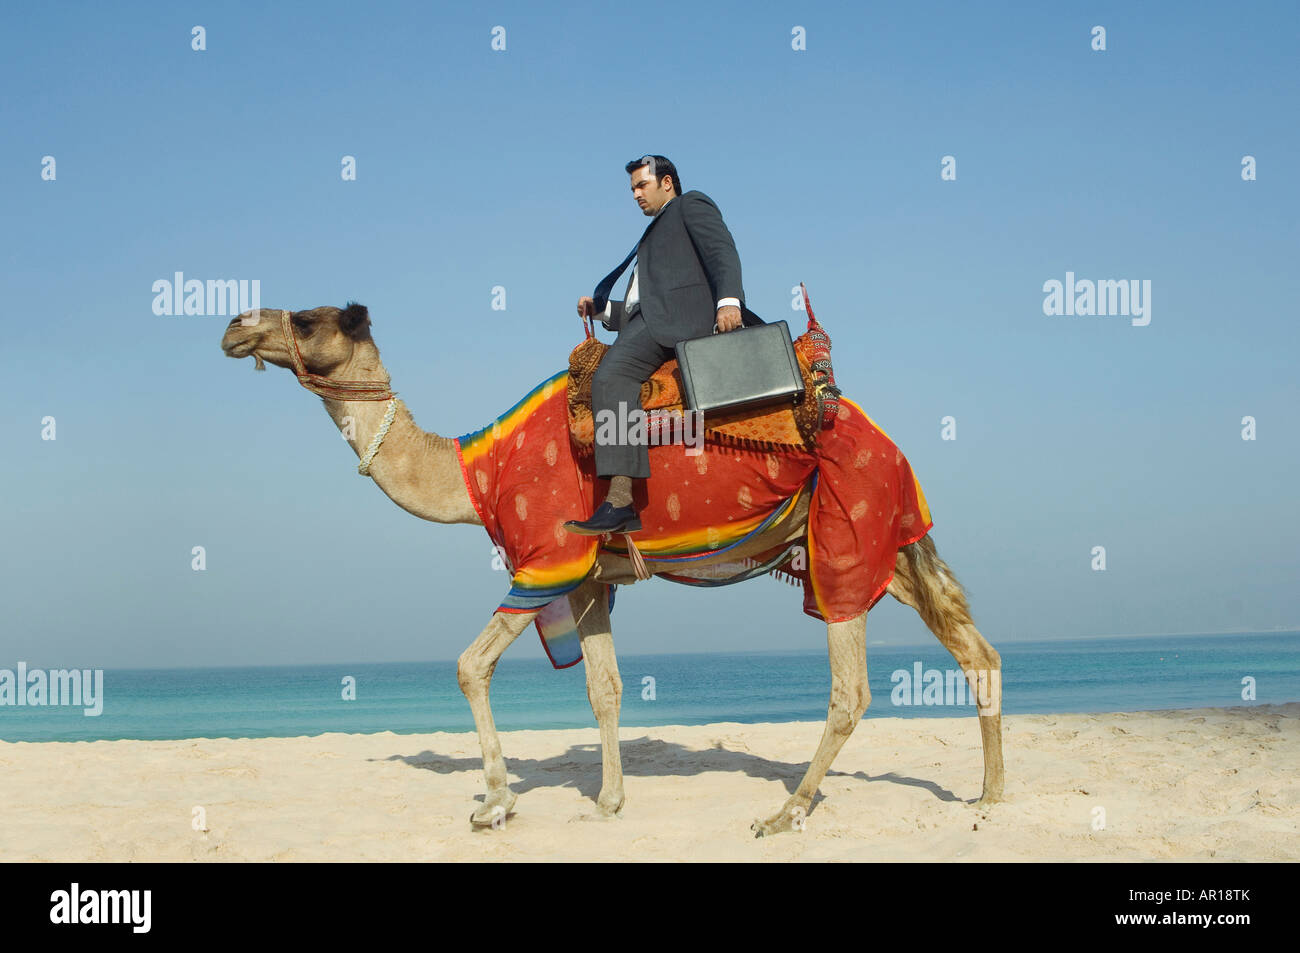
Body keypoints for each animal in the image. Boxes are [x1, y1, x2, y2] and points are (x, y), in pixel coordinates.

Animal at [219, 303, 1004, 836]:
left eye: (309, 319)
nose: (234, 325)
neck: (478, 470)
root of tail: (882, 437)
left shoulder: (546, 557)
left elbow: (472, 665)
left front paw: (495, 800)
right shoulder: (591, 578)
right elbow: (605, 689)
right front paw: (608, 800)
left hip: (847, 530)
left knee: (851, 689)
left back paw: (784, 813)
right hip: (888, 540)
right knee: (976, 650)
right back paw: (990, 795)